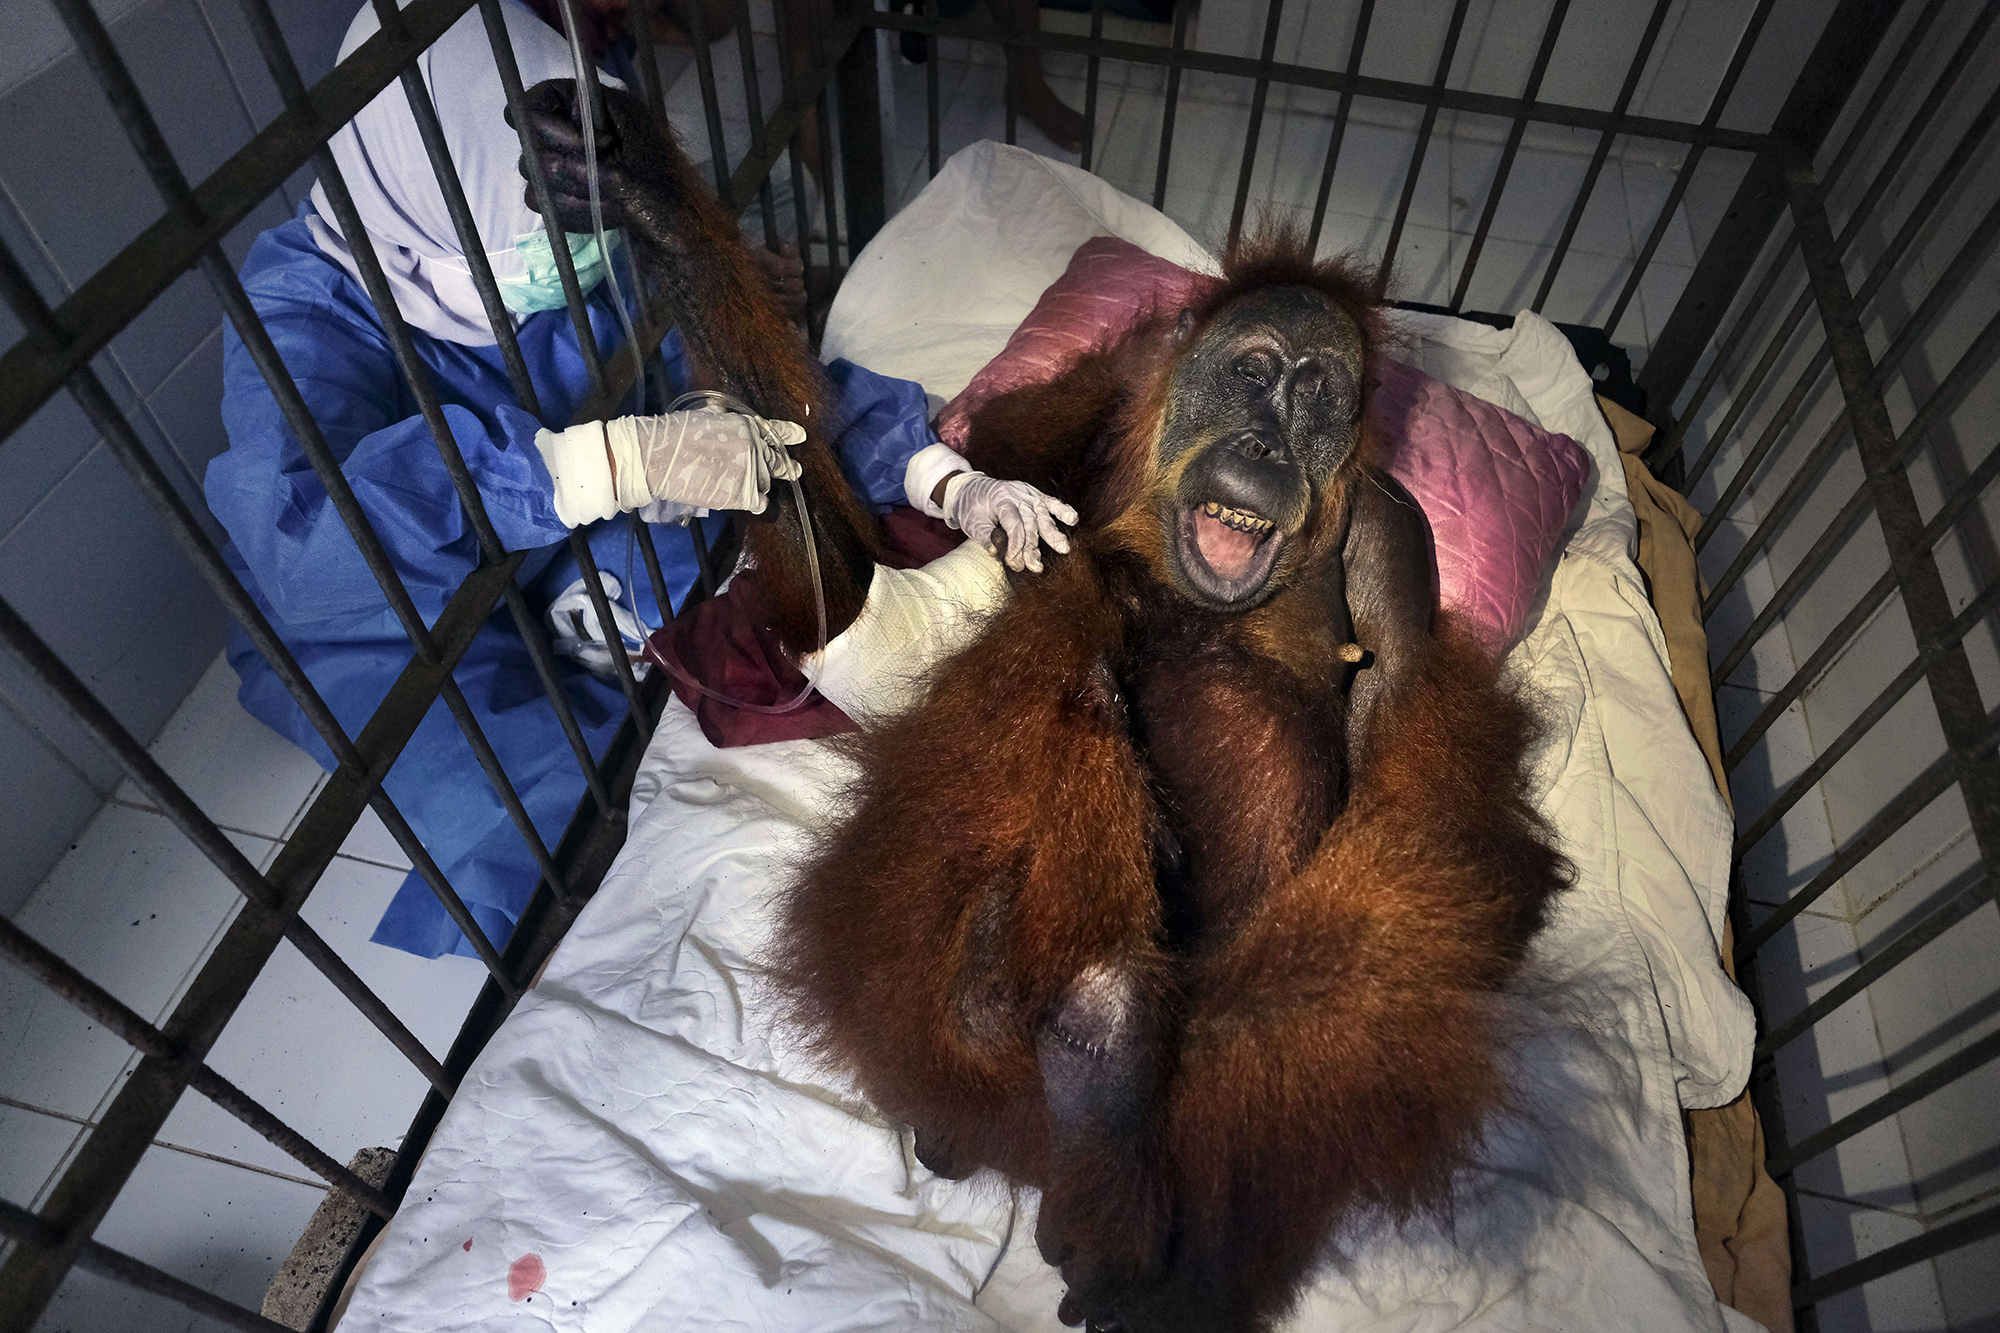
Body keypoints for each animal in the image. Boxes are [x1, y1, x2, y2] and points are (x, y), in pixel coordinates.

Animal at [517, 83, 1571, 1333]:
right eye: (1252, 372)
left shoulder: (1398, 545)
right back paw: (1073, 1055)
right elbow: (898, 554)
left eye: (1315, 392)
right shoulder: (1079, 428)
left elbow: (1409, 769)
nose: (1264, 444)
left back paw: (1114, 1174)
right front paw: (639, 197)